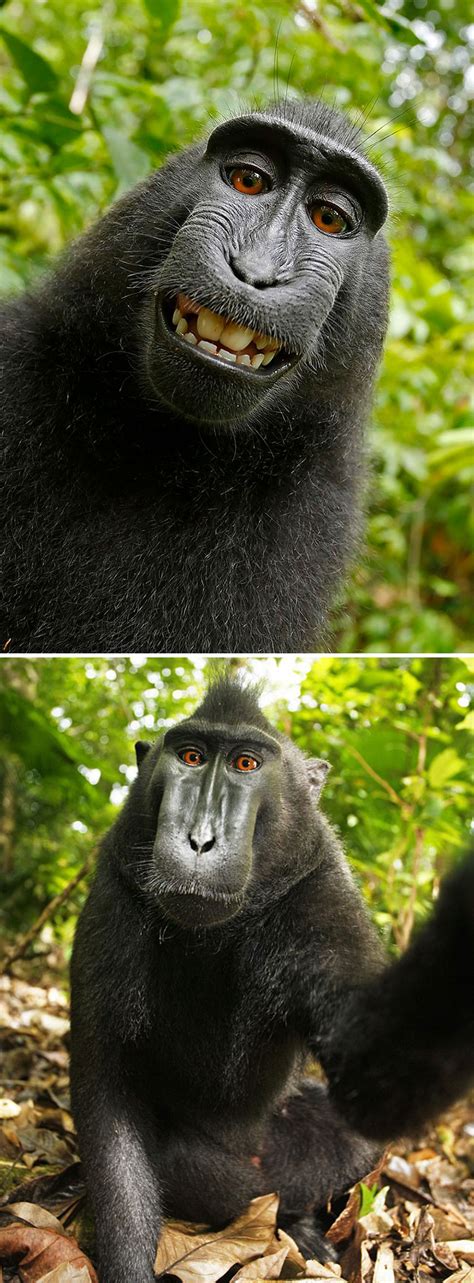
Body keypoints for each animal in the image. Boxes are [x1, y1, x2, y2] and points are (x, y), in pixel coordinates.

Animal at [70, 678, 474, 1283]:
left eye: (246, 763)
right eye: (191, 757)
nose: (200, 840)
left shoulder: (321, 893)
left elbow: (375, 1078)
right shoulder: (114, 895)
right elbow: (107, 1096)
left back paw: (301, 1226)